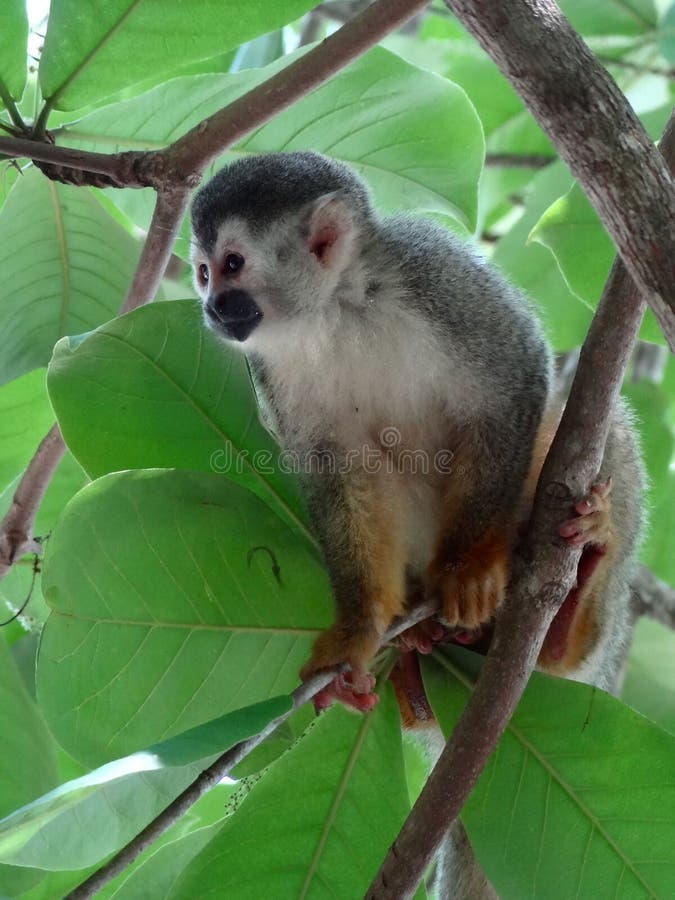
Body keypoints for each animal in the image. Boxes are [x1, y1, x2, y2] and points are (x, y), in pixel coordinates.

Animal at [191, 150, 645, 898]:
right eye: (202, 272)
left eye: (231, 265)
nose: (208, 307)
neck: (334, 312)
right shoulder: (274, 371)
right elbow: (338, 473)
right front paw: (357, 632)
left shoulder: (433, 276)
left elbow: (517, 379)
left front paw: (467, 569)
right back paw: (416, 652)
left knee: (580, 419)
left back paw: (571, 606)